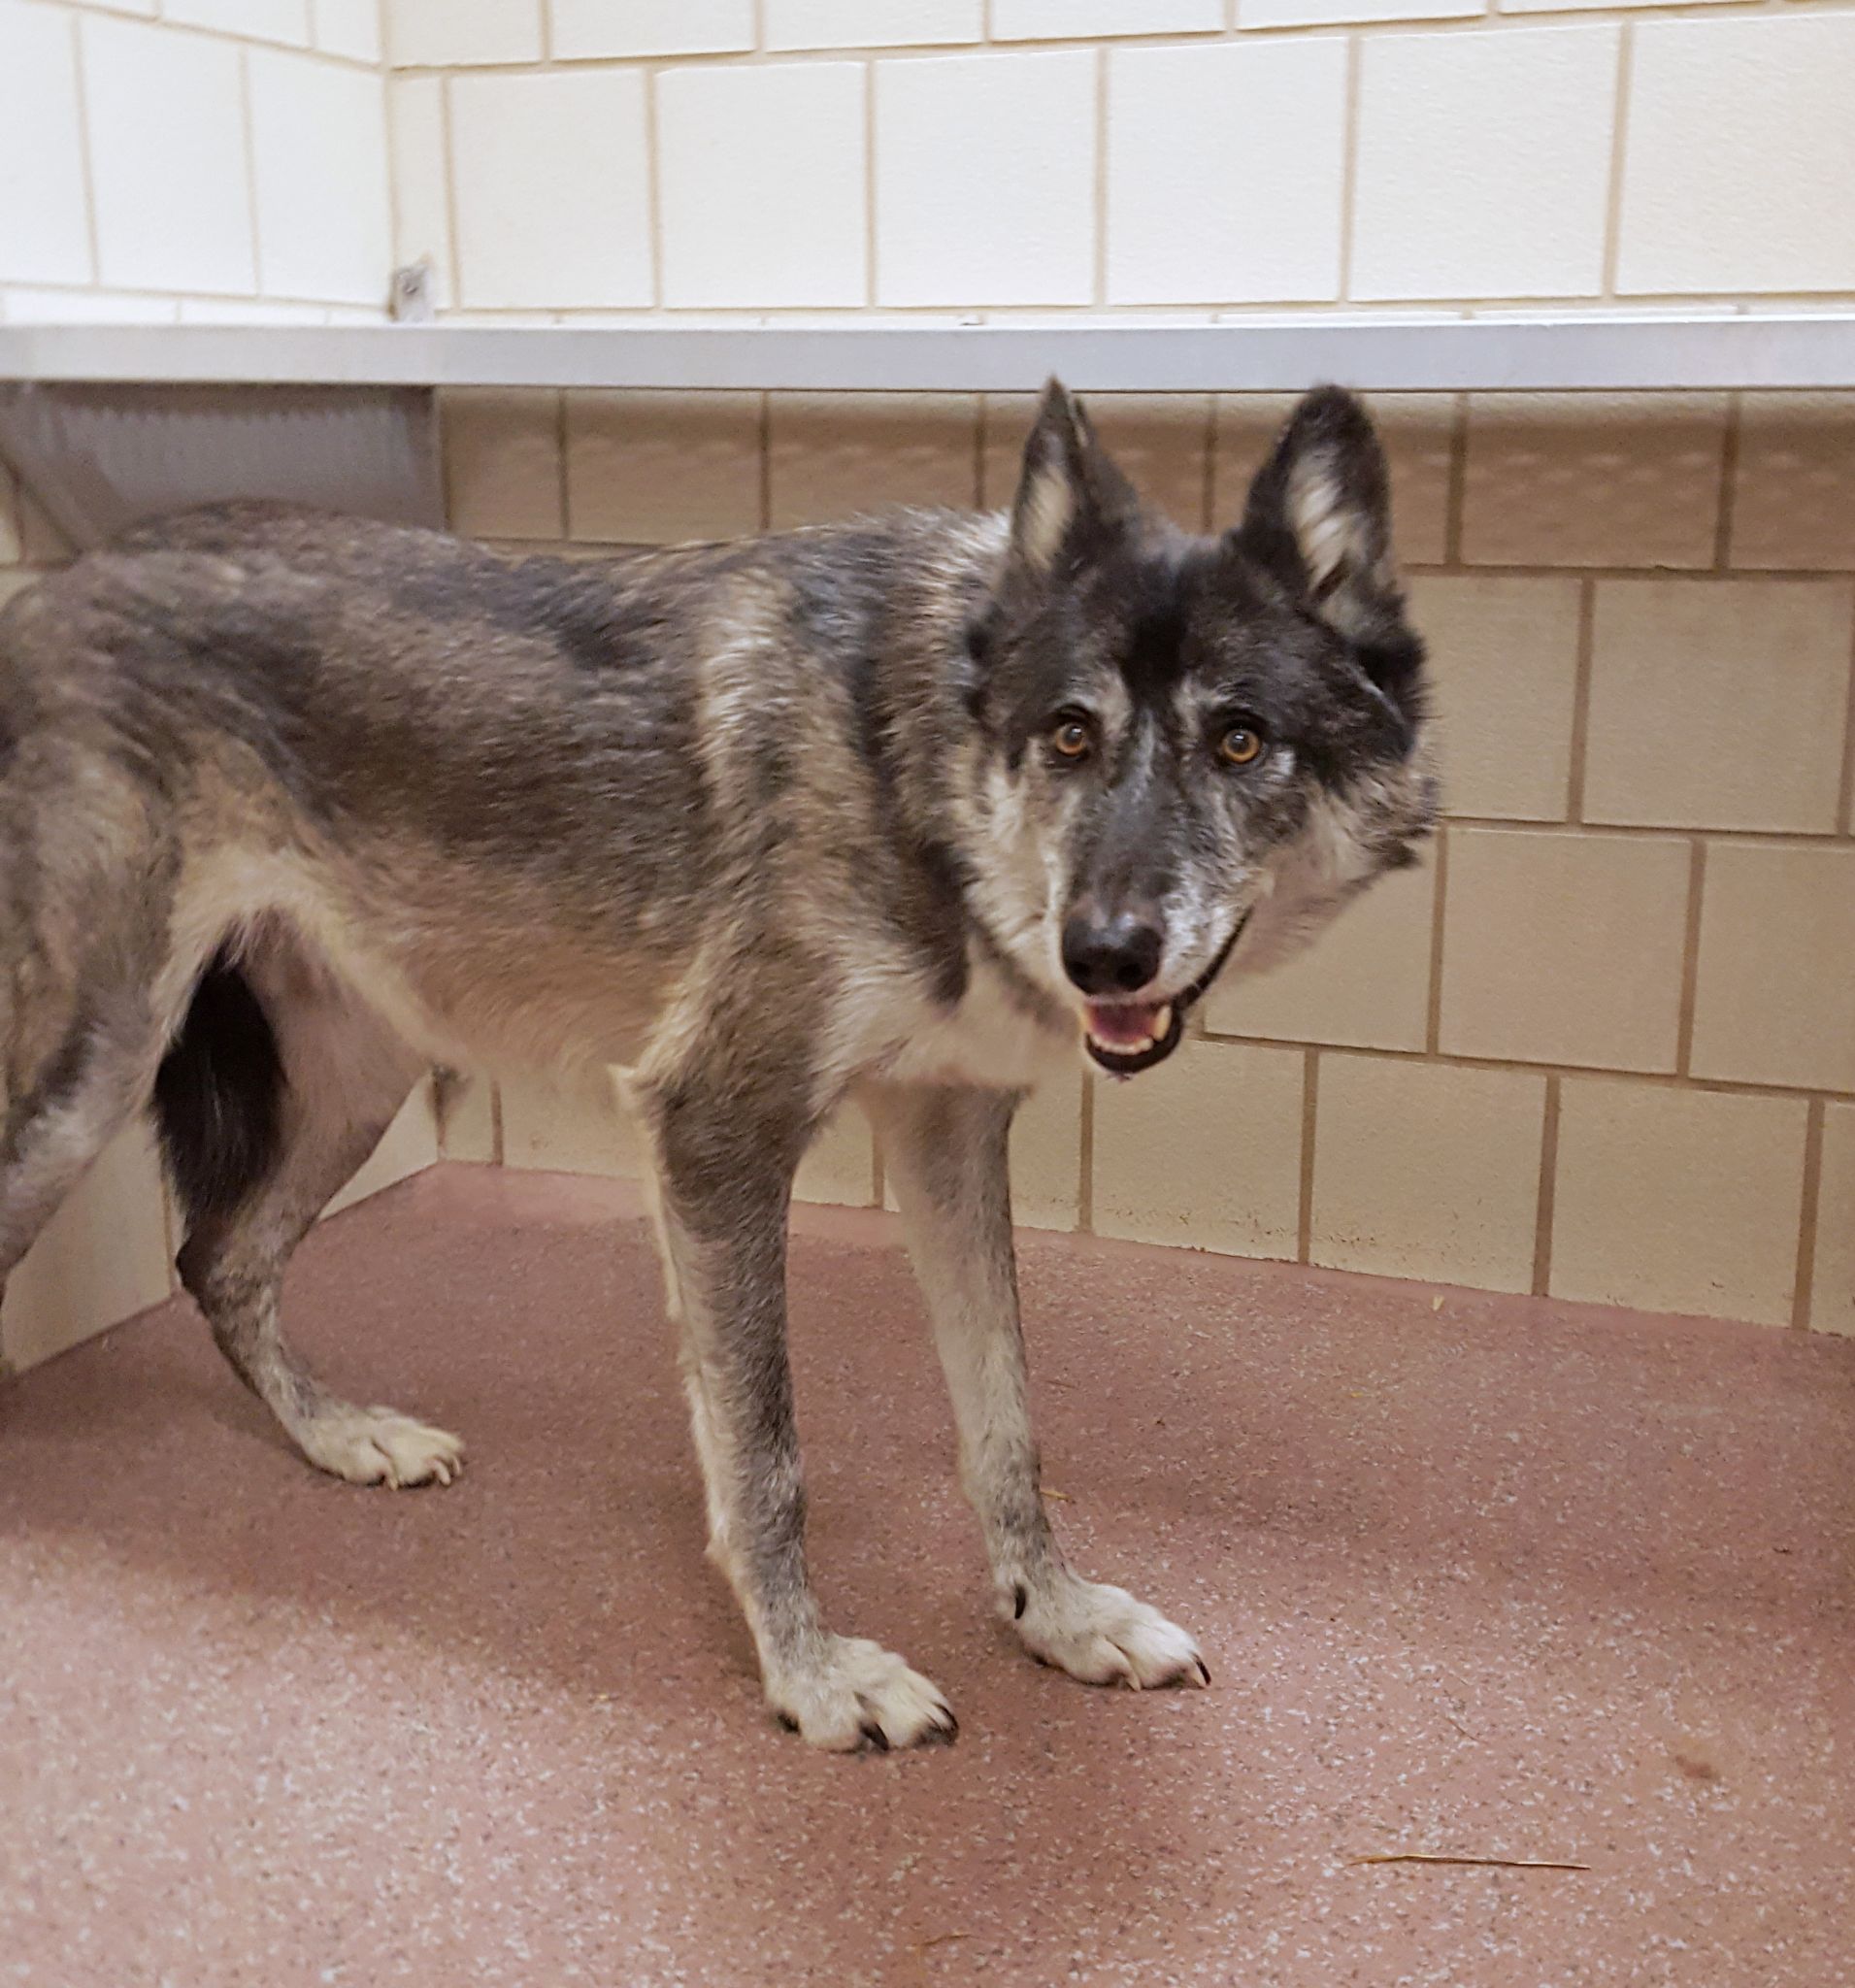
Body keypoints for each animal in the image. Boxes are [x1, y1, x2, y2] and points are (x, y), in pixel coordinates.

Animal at [0, 381, 1434, 1749]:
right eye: (1070, 734)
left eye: (1240, 740)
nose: (1105, 953)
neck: (901, 758)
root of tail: (49, 589)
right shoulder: (710, 1131)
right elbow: (765, 1455)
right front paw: (811, 1679)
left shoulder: (948, 1134)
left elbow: (1007, 1421)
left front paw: (1057, 1616)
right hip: (95, 1080)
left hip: (356, 1082)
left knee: (217, 1258)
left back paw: (345, 1437)